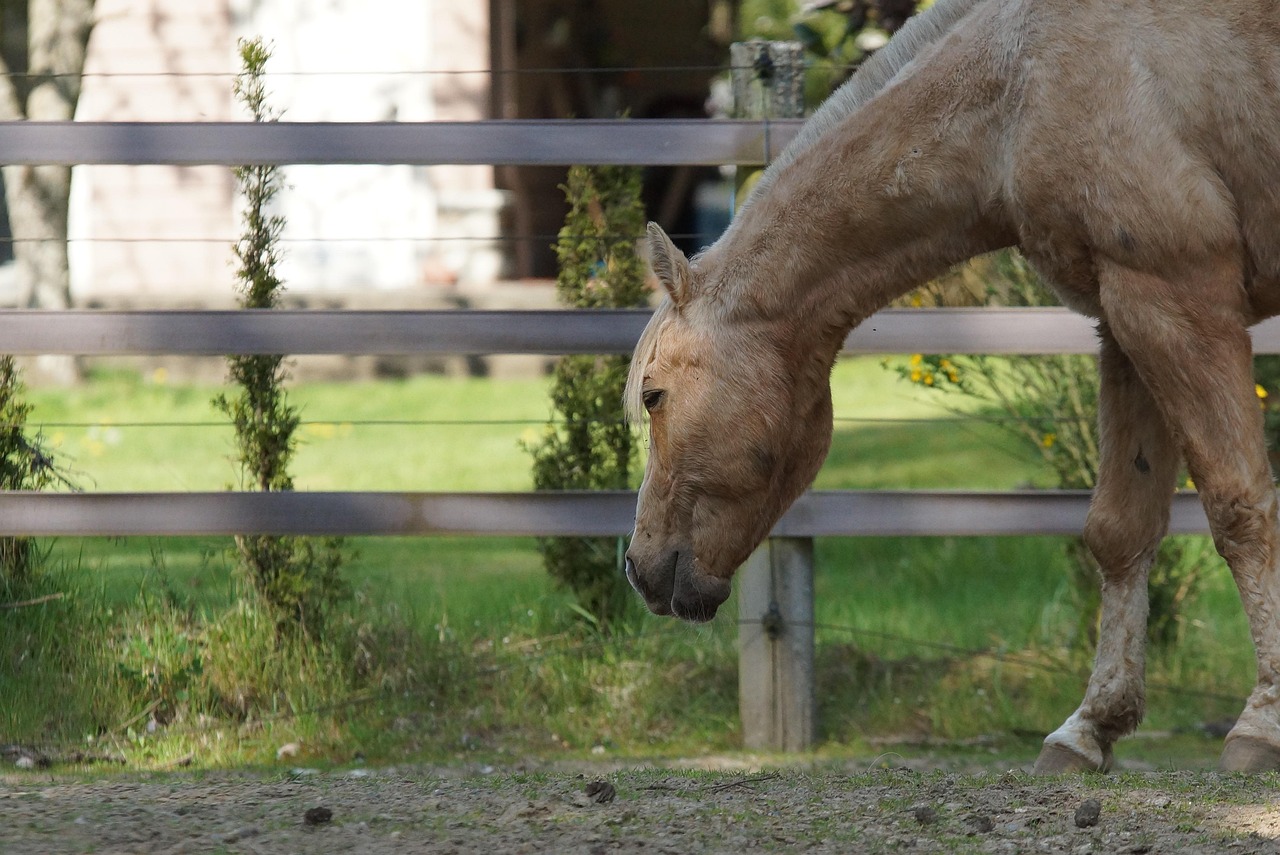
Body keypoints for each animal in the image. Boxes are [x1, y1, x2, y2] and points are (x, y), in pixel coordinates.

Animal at [623, 0, 1280, 774]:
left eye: (654, 395)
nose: (638, 568)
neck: (1023, 85)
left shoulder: (1178, 303)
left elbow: (1240, 510)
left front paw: (1262, 724)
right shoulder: (1125, 323)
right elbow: (1122, 529)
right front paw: (1089, 727)